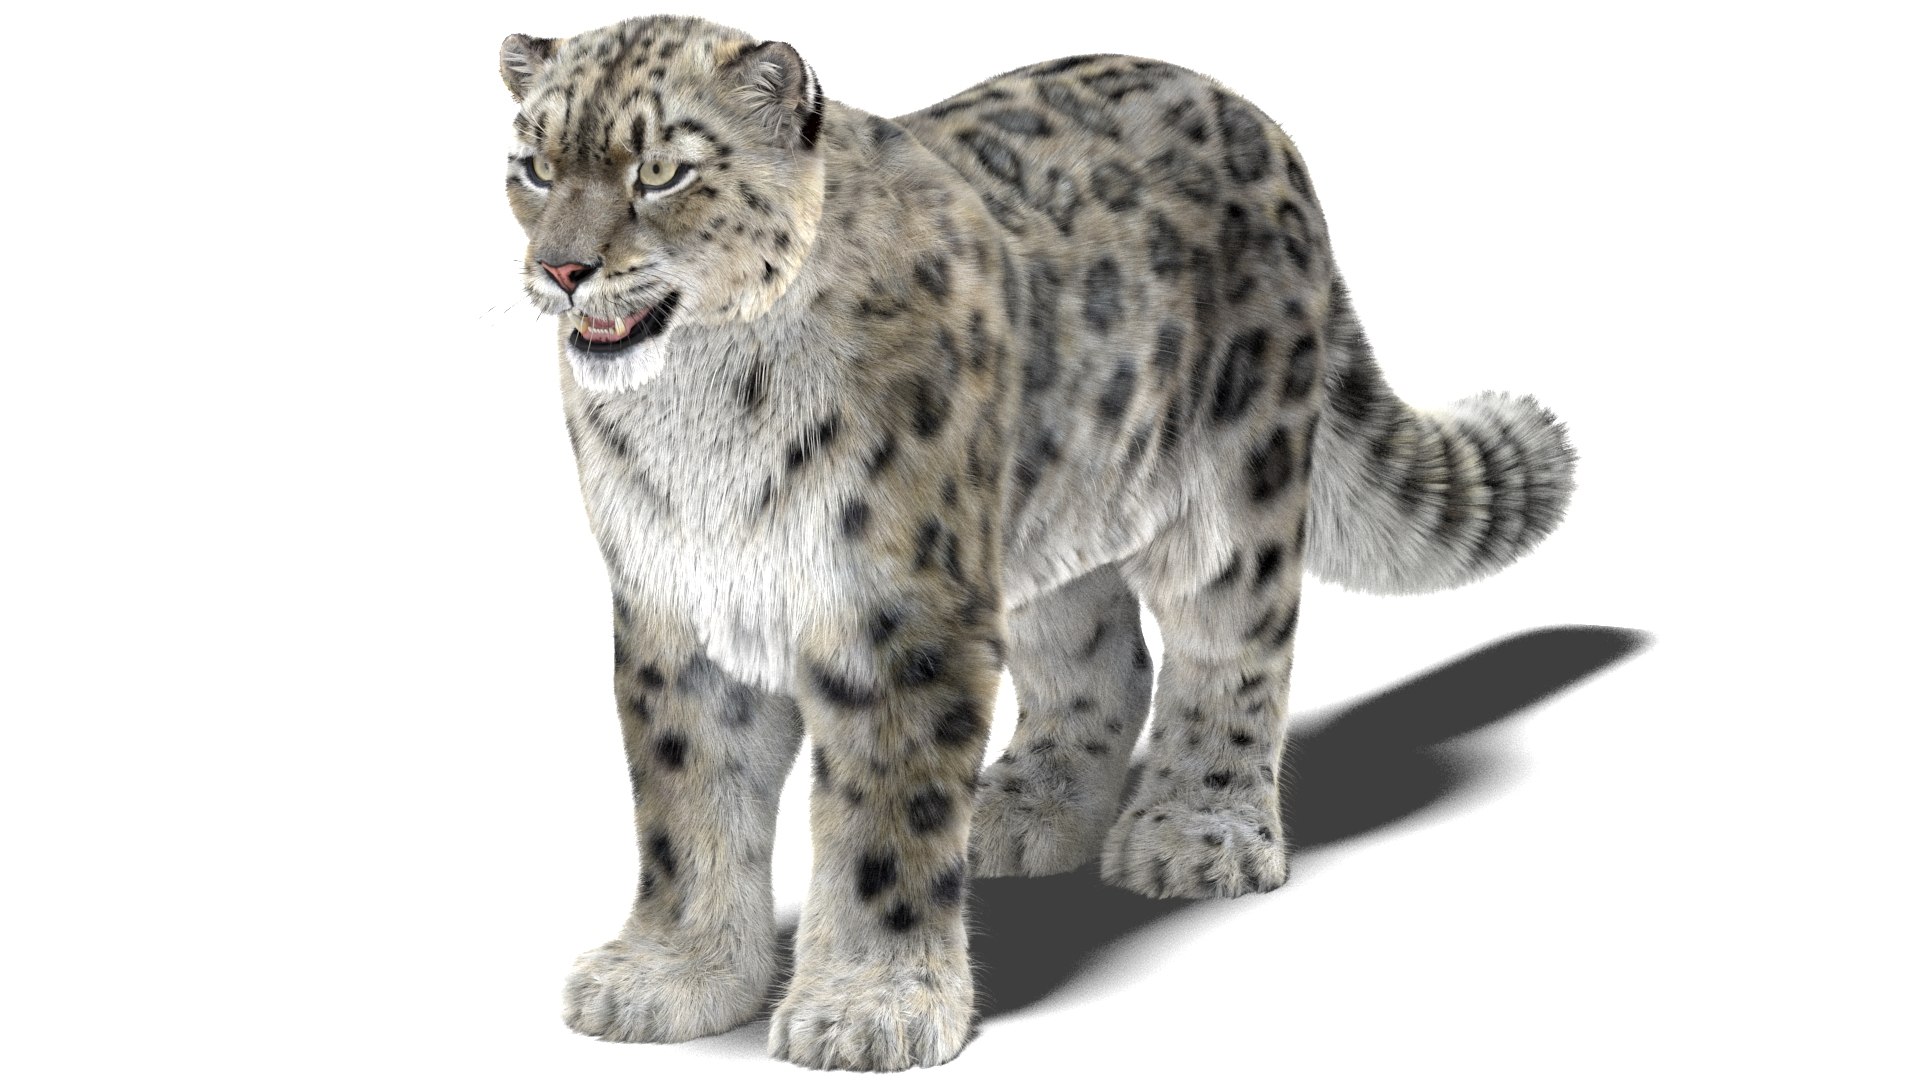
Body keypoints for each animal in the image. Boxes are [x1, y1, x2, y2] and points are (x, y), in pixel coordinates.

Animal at [497, 14, 1575, 1071]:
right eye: (535, 167)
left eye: (661, 171)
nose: (563, 268)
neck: (700, 413)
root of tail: (1253, 119)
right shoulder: (677, 610)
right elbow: (685, 799)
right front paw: (671, 978)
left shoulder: (894, 614)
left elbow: (886, 814)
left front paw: (869, 1010)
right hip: (1047, 517)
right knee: (1106, 655)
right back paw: (1027, 809)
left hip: (1234, 494)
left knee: (1233, 651)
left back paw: (1196, 830)